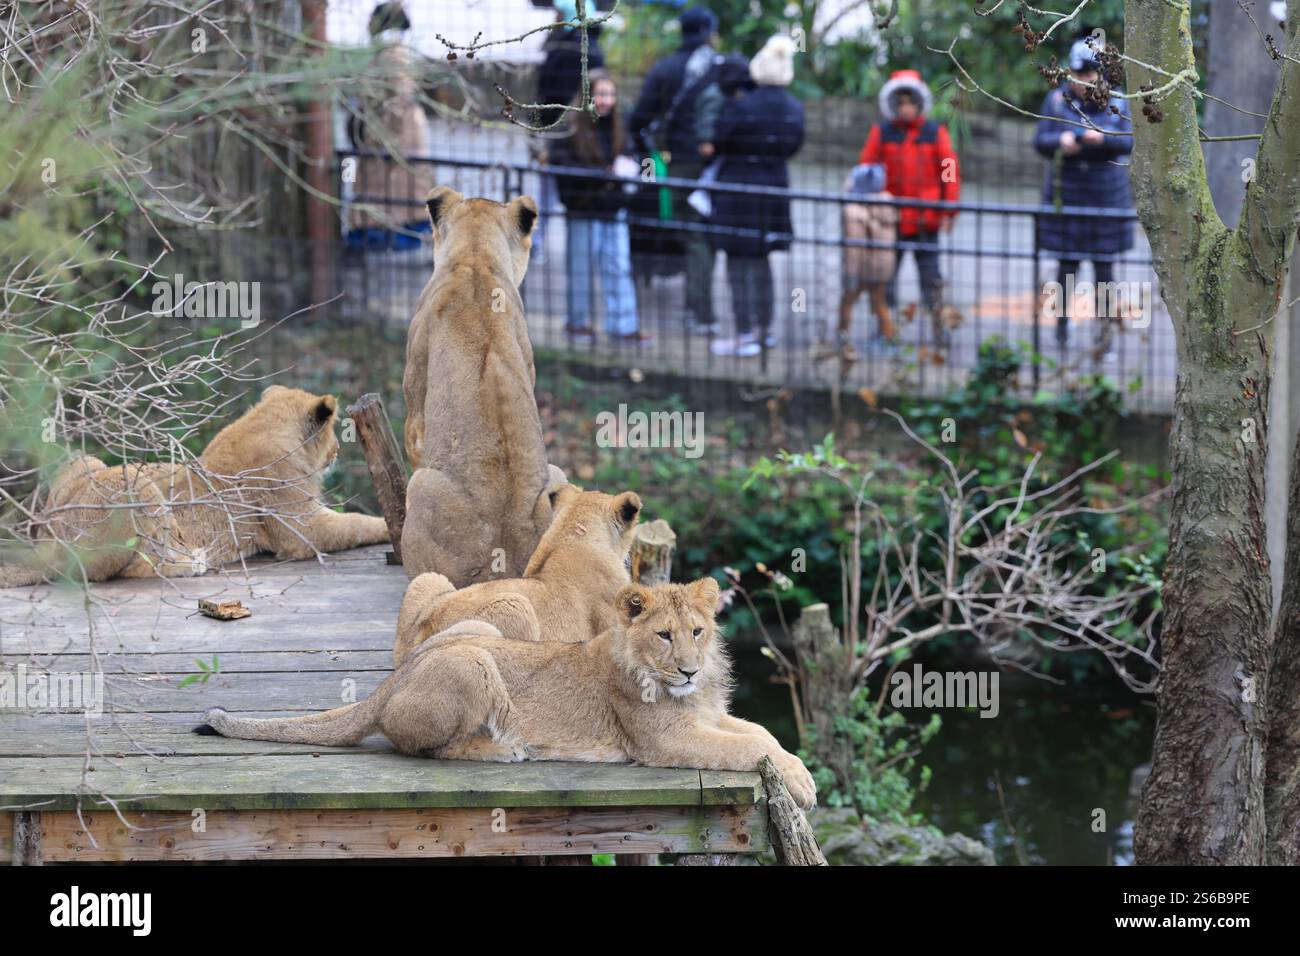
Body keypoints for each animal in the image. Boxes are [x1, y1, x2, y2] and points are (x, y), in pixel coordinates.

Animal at [0, 385, 389, 587]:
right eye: (333, 433)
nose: (338, 451)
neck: (268, 427)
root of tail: (51, 544)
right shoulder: (302, 529)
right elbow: (355, 524)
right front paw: (388, 527)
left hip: (84, 463)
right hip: (136, 487)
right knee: (124, 570)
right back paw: (188, 563)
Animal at [198, 578, 817, 810]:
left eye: (698, 631)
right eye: (664, 635)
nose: (688, 671)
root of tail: (389, 682)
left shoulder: (708, 716)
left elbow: (761, 732)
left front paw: (798, 769)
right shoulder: (664, 742)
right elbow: (748, 749)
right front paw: (802, 784)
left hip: (479, 631)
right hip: (473, 662)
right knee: (426, 748)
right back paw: (503, 748)